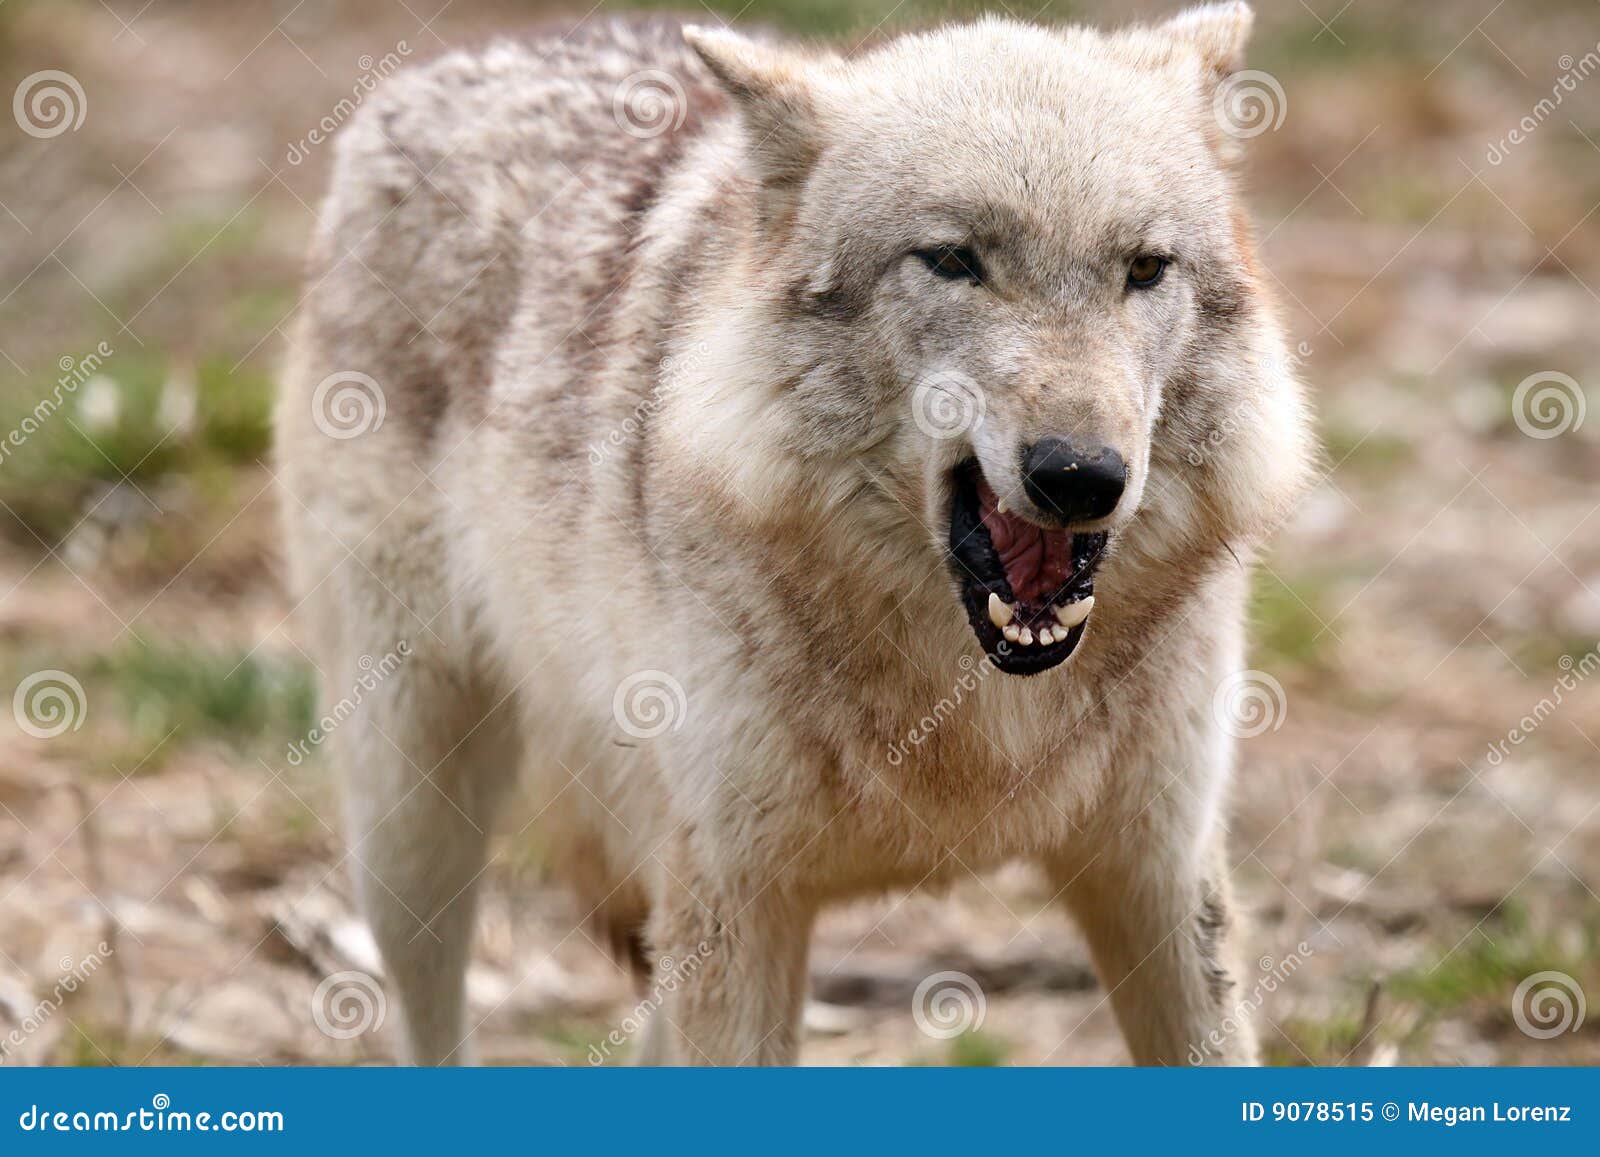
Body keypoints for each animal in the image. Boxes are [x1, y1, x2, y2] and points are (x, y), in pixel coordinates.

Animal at [275, 2, 1313, 1065]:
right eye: (953, 261)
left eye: (1144, 269)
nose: (1080, 477)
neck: (976, 715)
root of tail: (462, 60)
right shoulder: (738, 905)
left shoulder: (1160, 876)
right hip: (411, 812)